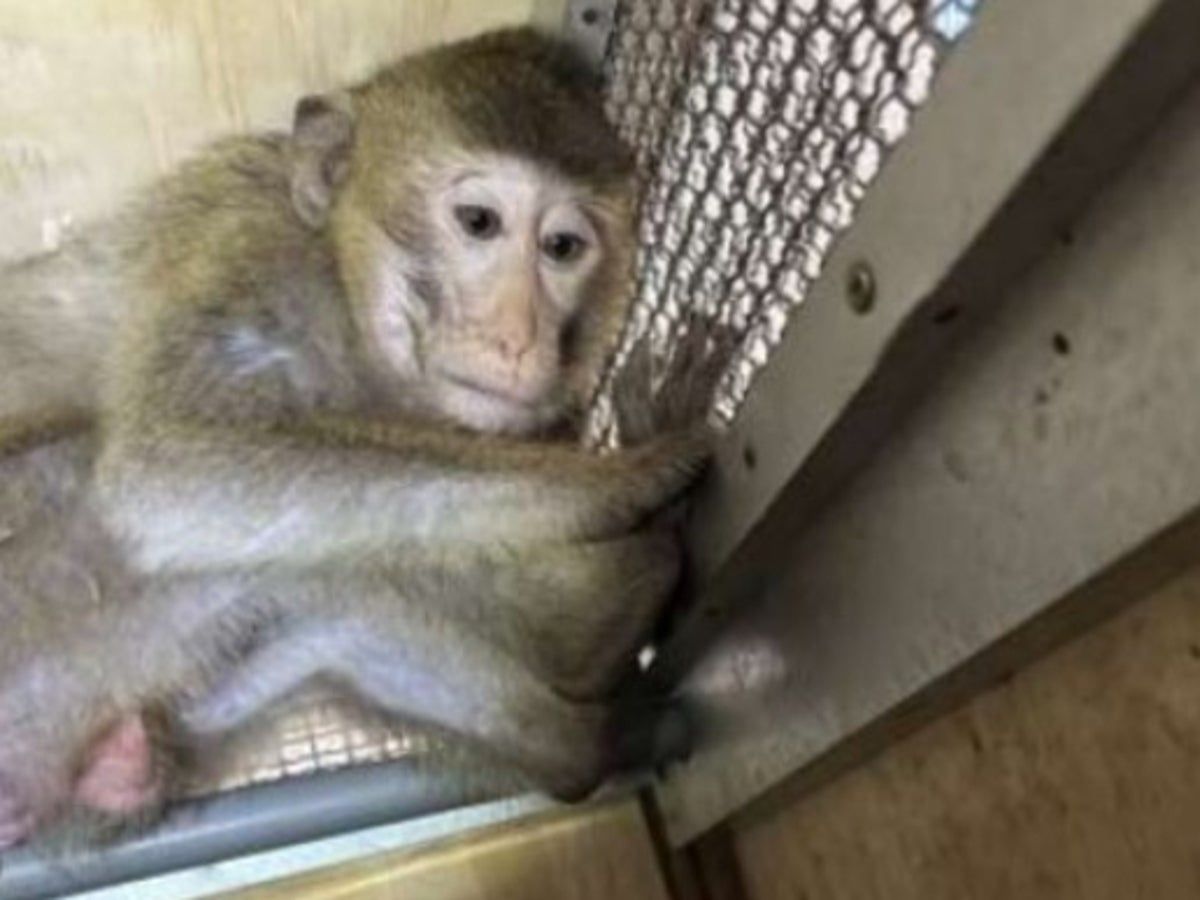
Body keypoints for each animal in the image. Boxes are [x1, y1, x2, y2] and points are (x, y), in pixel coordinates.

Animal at [0, 28, 721, 849]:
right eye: (479, 223)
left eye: (564, 247)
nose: (517, 337)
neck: (343, 305)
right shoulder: (243, 246)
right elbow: (166, 468)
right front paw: (630, 480)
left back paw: (580, 705)